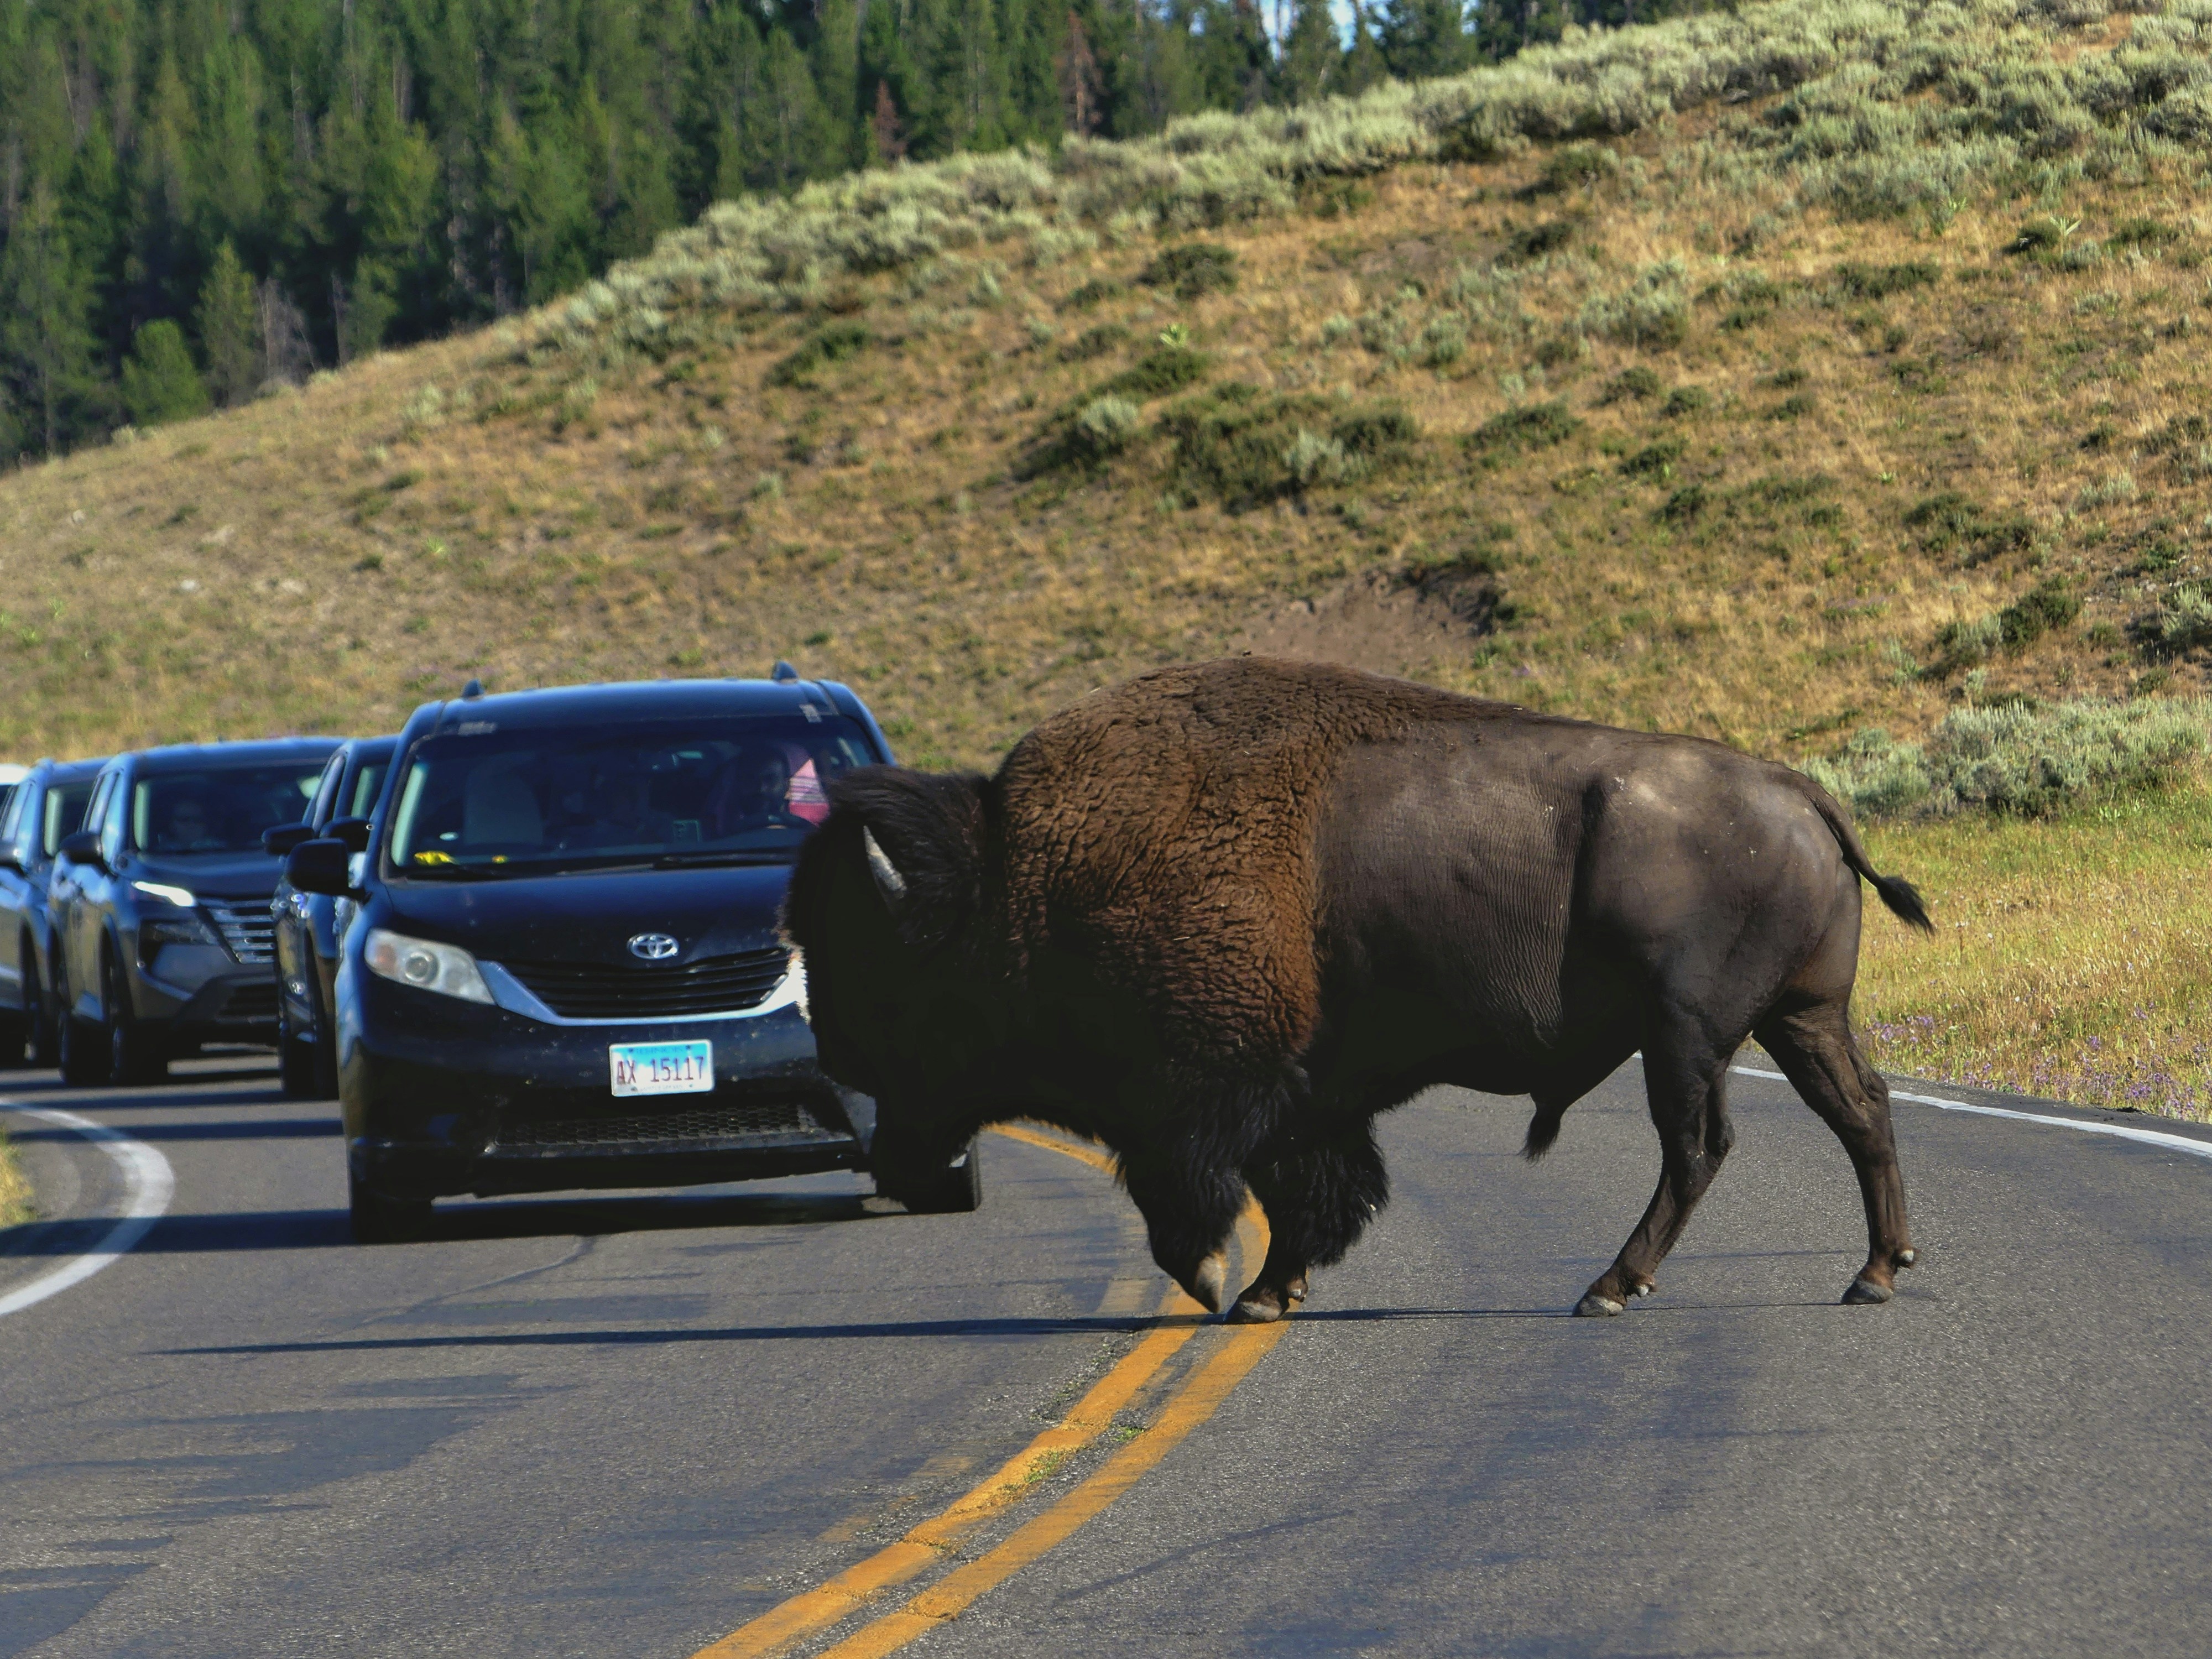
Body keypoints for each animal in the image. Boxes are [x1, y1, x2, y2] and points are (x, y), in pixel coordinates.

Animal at [785, 657, 1930, 1323]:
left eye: (897, 981)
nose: (838, 1060)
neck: (1029, 877)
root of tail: (1804, 796)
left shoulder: (1210, 1093)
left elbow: (1209, 1191)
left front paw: (1219, 1284)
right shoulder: (1308, 1092)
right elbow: (1315, 1191)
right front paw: (1266, 1292)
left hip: (1688, 1035)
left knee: (1699, 1148)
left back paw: (1609, 1290)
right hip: (1797, 1021)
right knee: (1859, 1113)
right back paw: (1875, 1273)